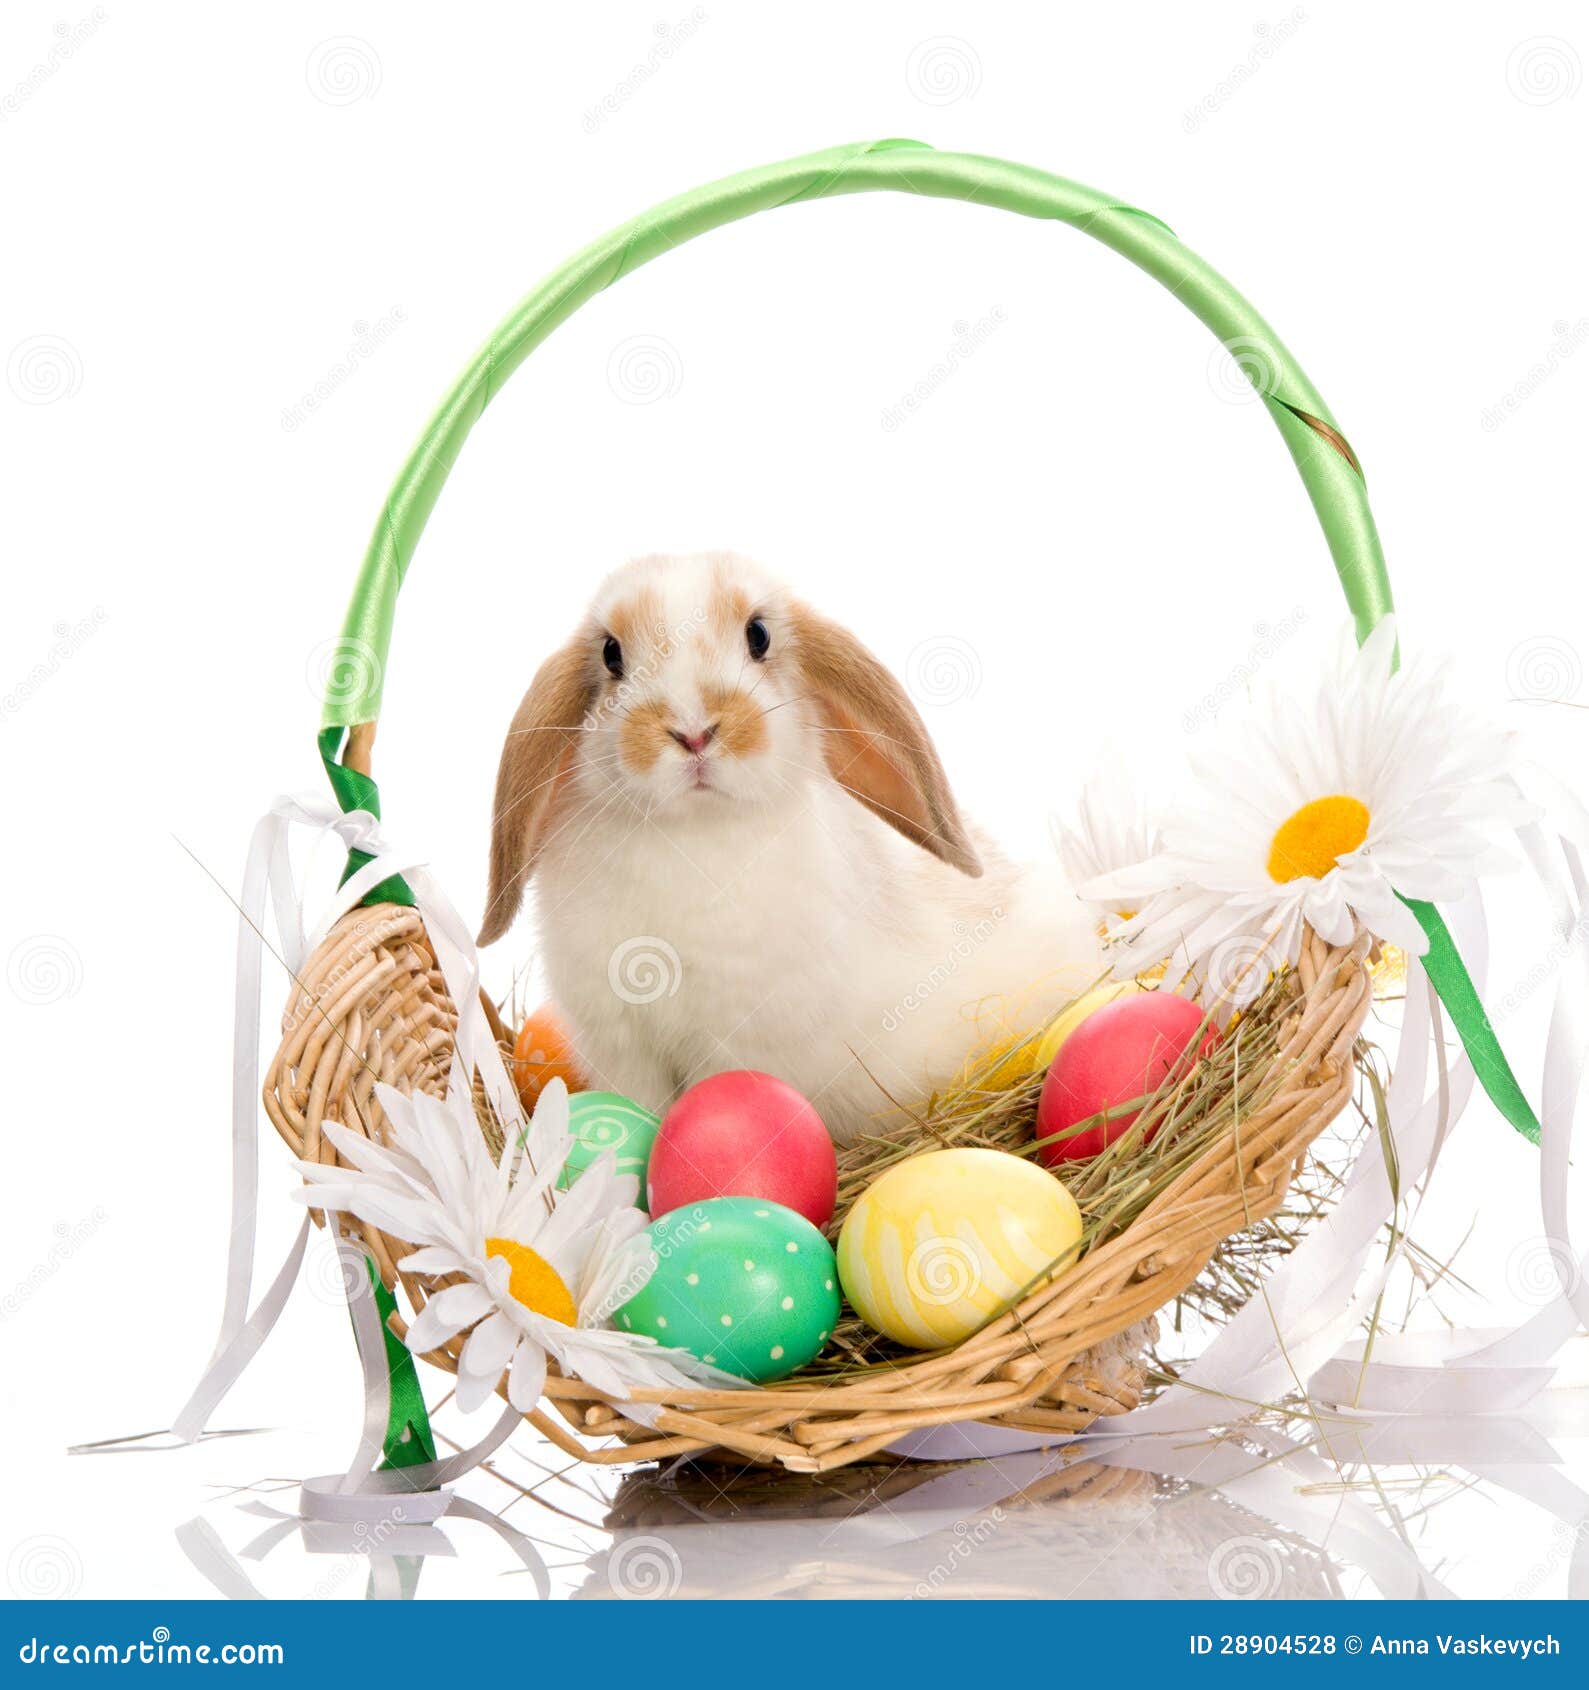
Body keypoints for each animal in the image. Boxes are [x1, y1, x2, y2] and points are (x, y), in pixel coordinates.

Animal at [478, 552, 1102, 1144]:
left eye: (759, 635)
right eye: (611, 655)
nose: (693, 732)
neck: (690, 834)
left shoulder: (739, 1045)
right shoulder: (624, 1050)